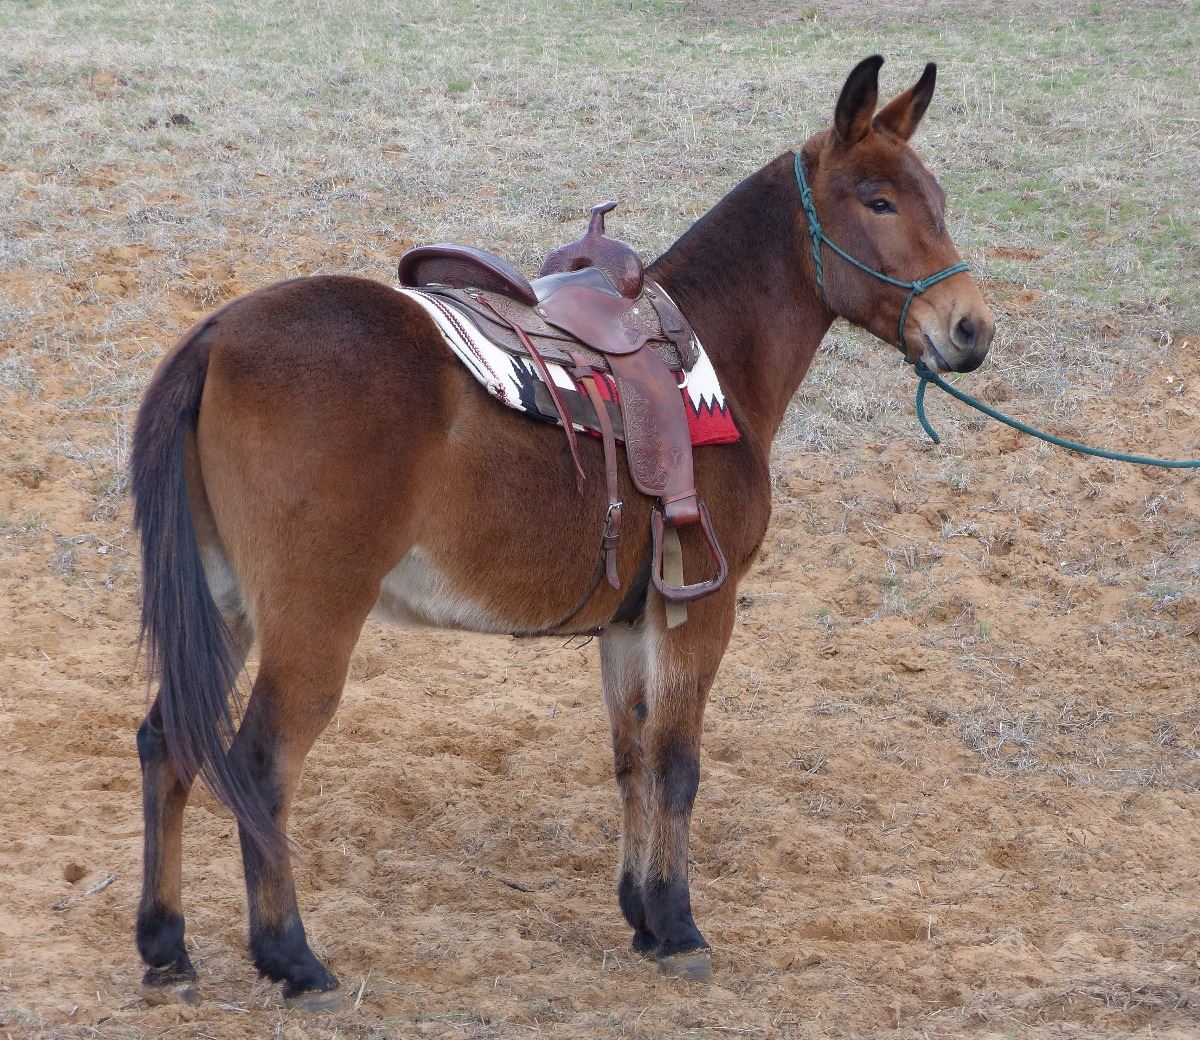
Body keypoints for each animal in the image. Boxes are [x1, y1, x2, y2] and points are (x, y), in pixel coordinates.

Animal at [130, 54, 995, 1007]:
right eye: (878, 201)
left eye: (936, 197)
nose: (970, 328)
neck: (711, 356)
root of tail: (218, 336)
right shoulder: (703, 605)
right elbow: (677, 762)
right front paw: (679, 926)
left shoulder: (630, 620)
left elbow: (632, 755)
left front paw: (643, 913)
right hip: (310, 620)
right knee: (259, 765)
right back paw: (291, 956)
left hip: (224, 606)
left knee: (167, 743)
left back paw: (166, 946)